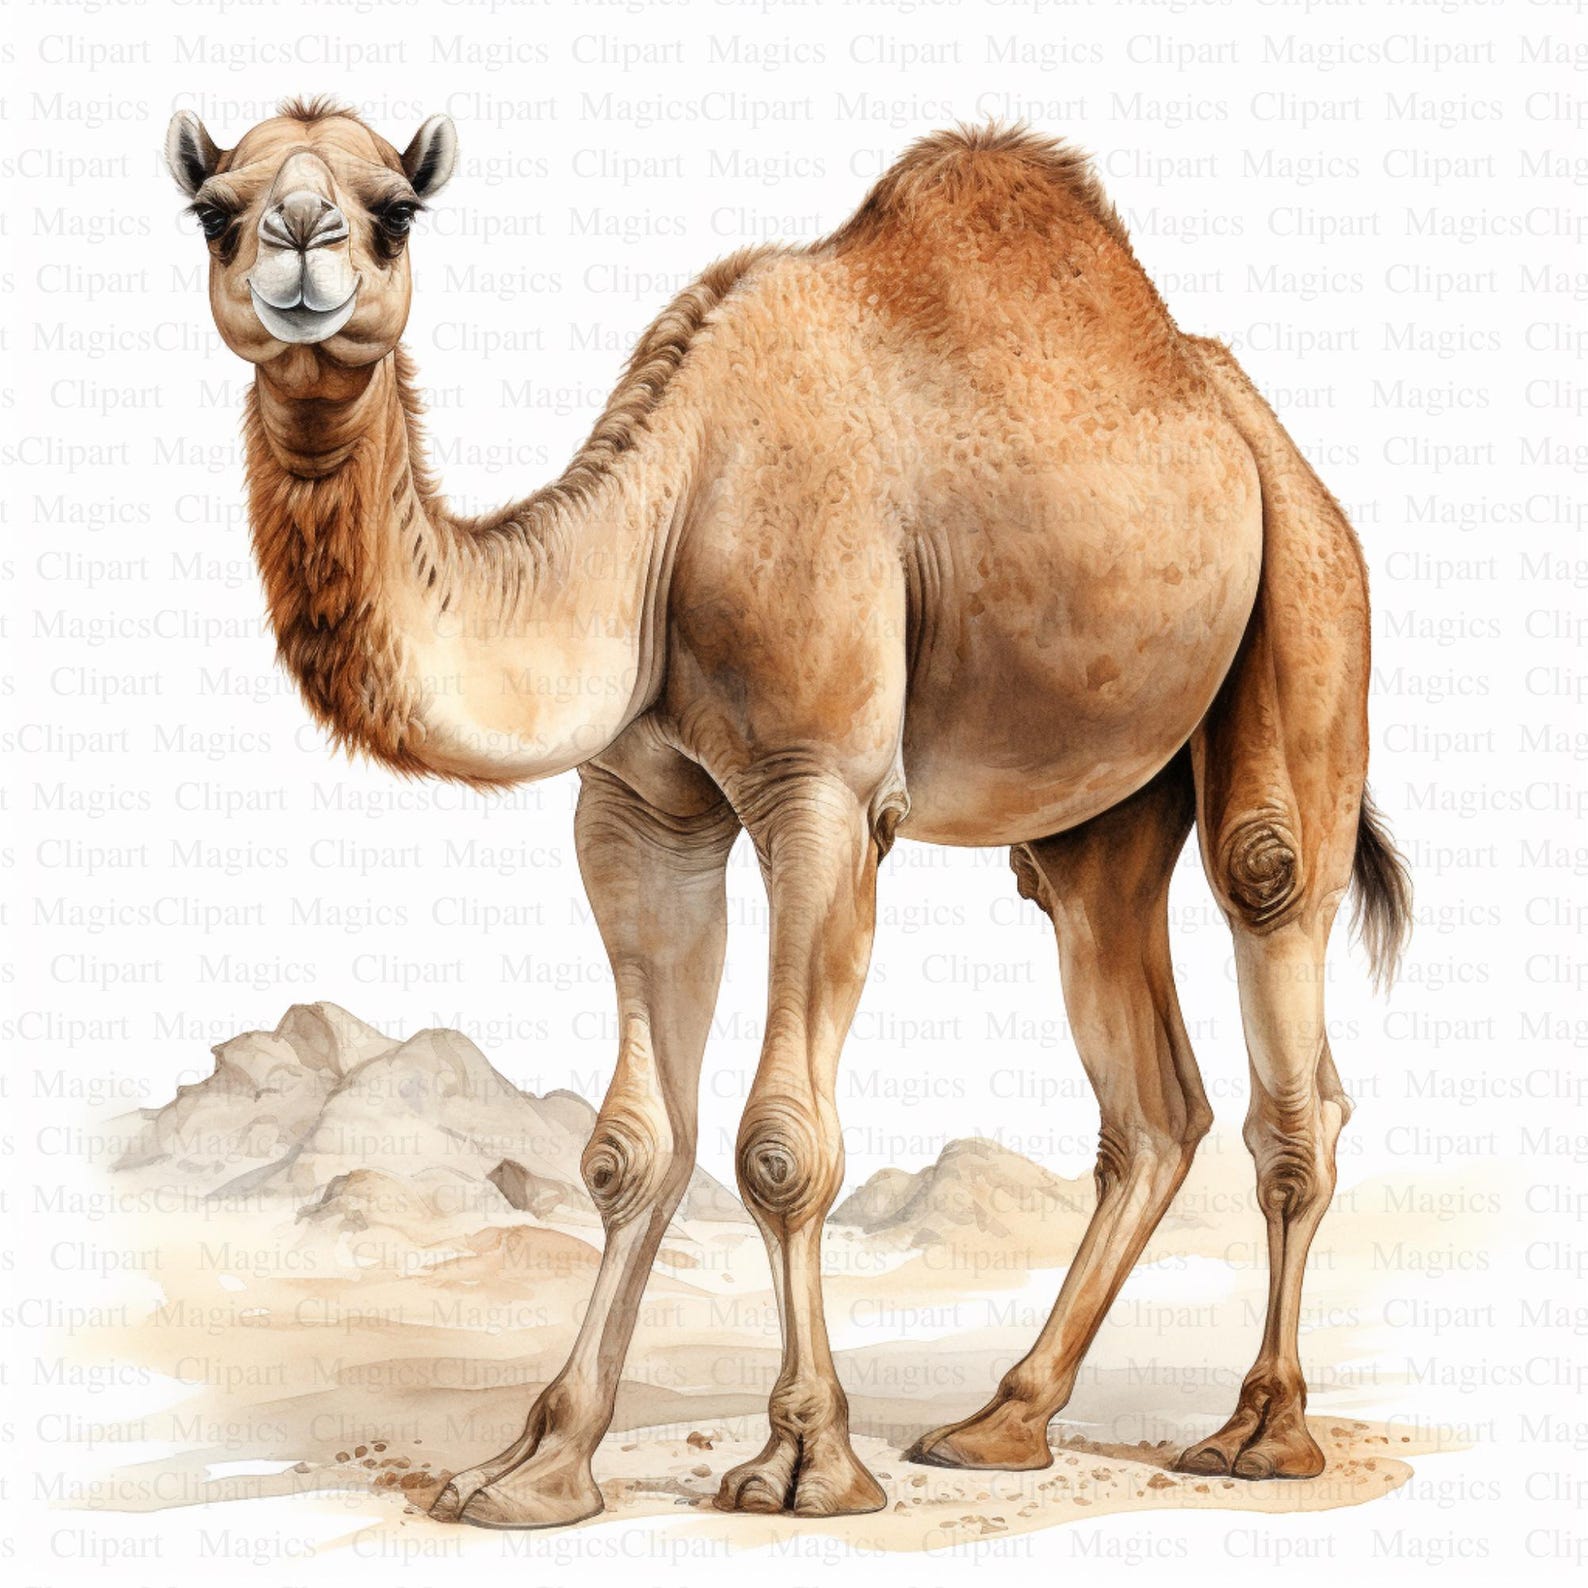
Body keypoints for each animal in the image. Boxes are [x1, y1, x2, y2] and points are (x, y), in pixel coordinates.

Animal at [164, 98, 1411, 1529]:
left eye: (393, 210)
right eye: (214, 208)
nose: (301, 243)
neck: (663, 520)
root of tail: (1254, 429)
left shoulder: (824, 786)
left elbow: (777, 1145)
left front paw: (806, 1461)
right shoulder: (639, 811)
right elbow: (630, 1148)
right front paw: (537, 1466)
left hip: (1307, 589)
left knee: (1276, 934)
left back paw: (1261, 1431)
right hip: (1095, 790)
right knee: (1144, 1075)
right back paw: (1000, 1421)